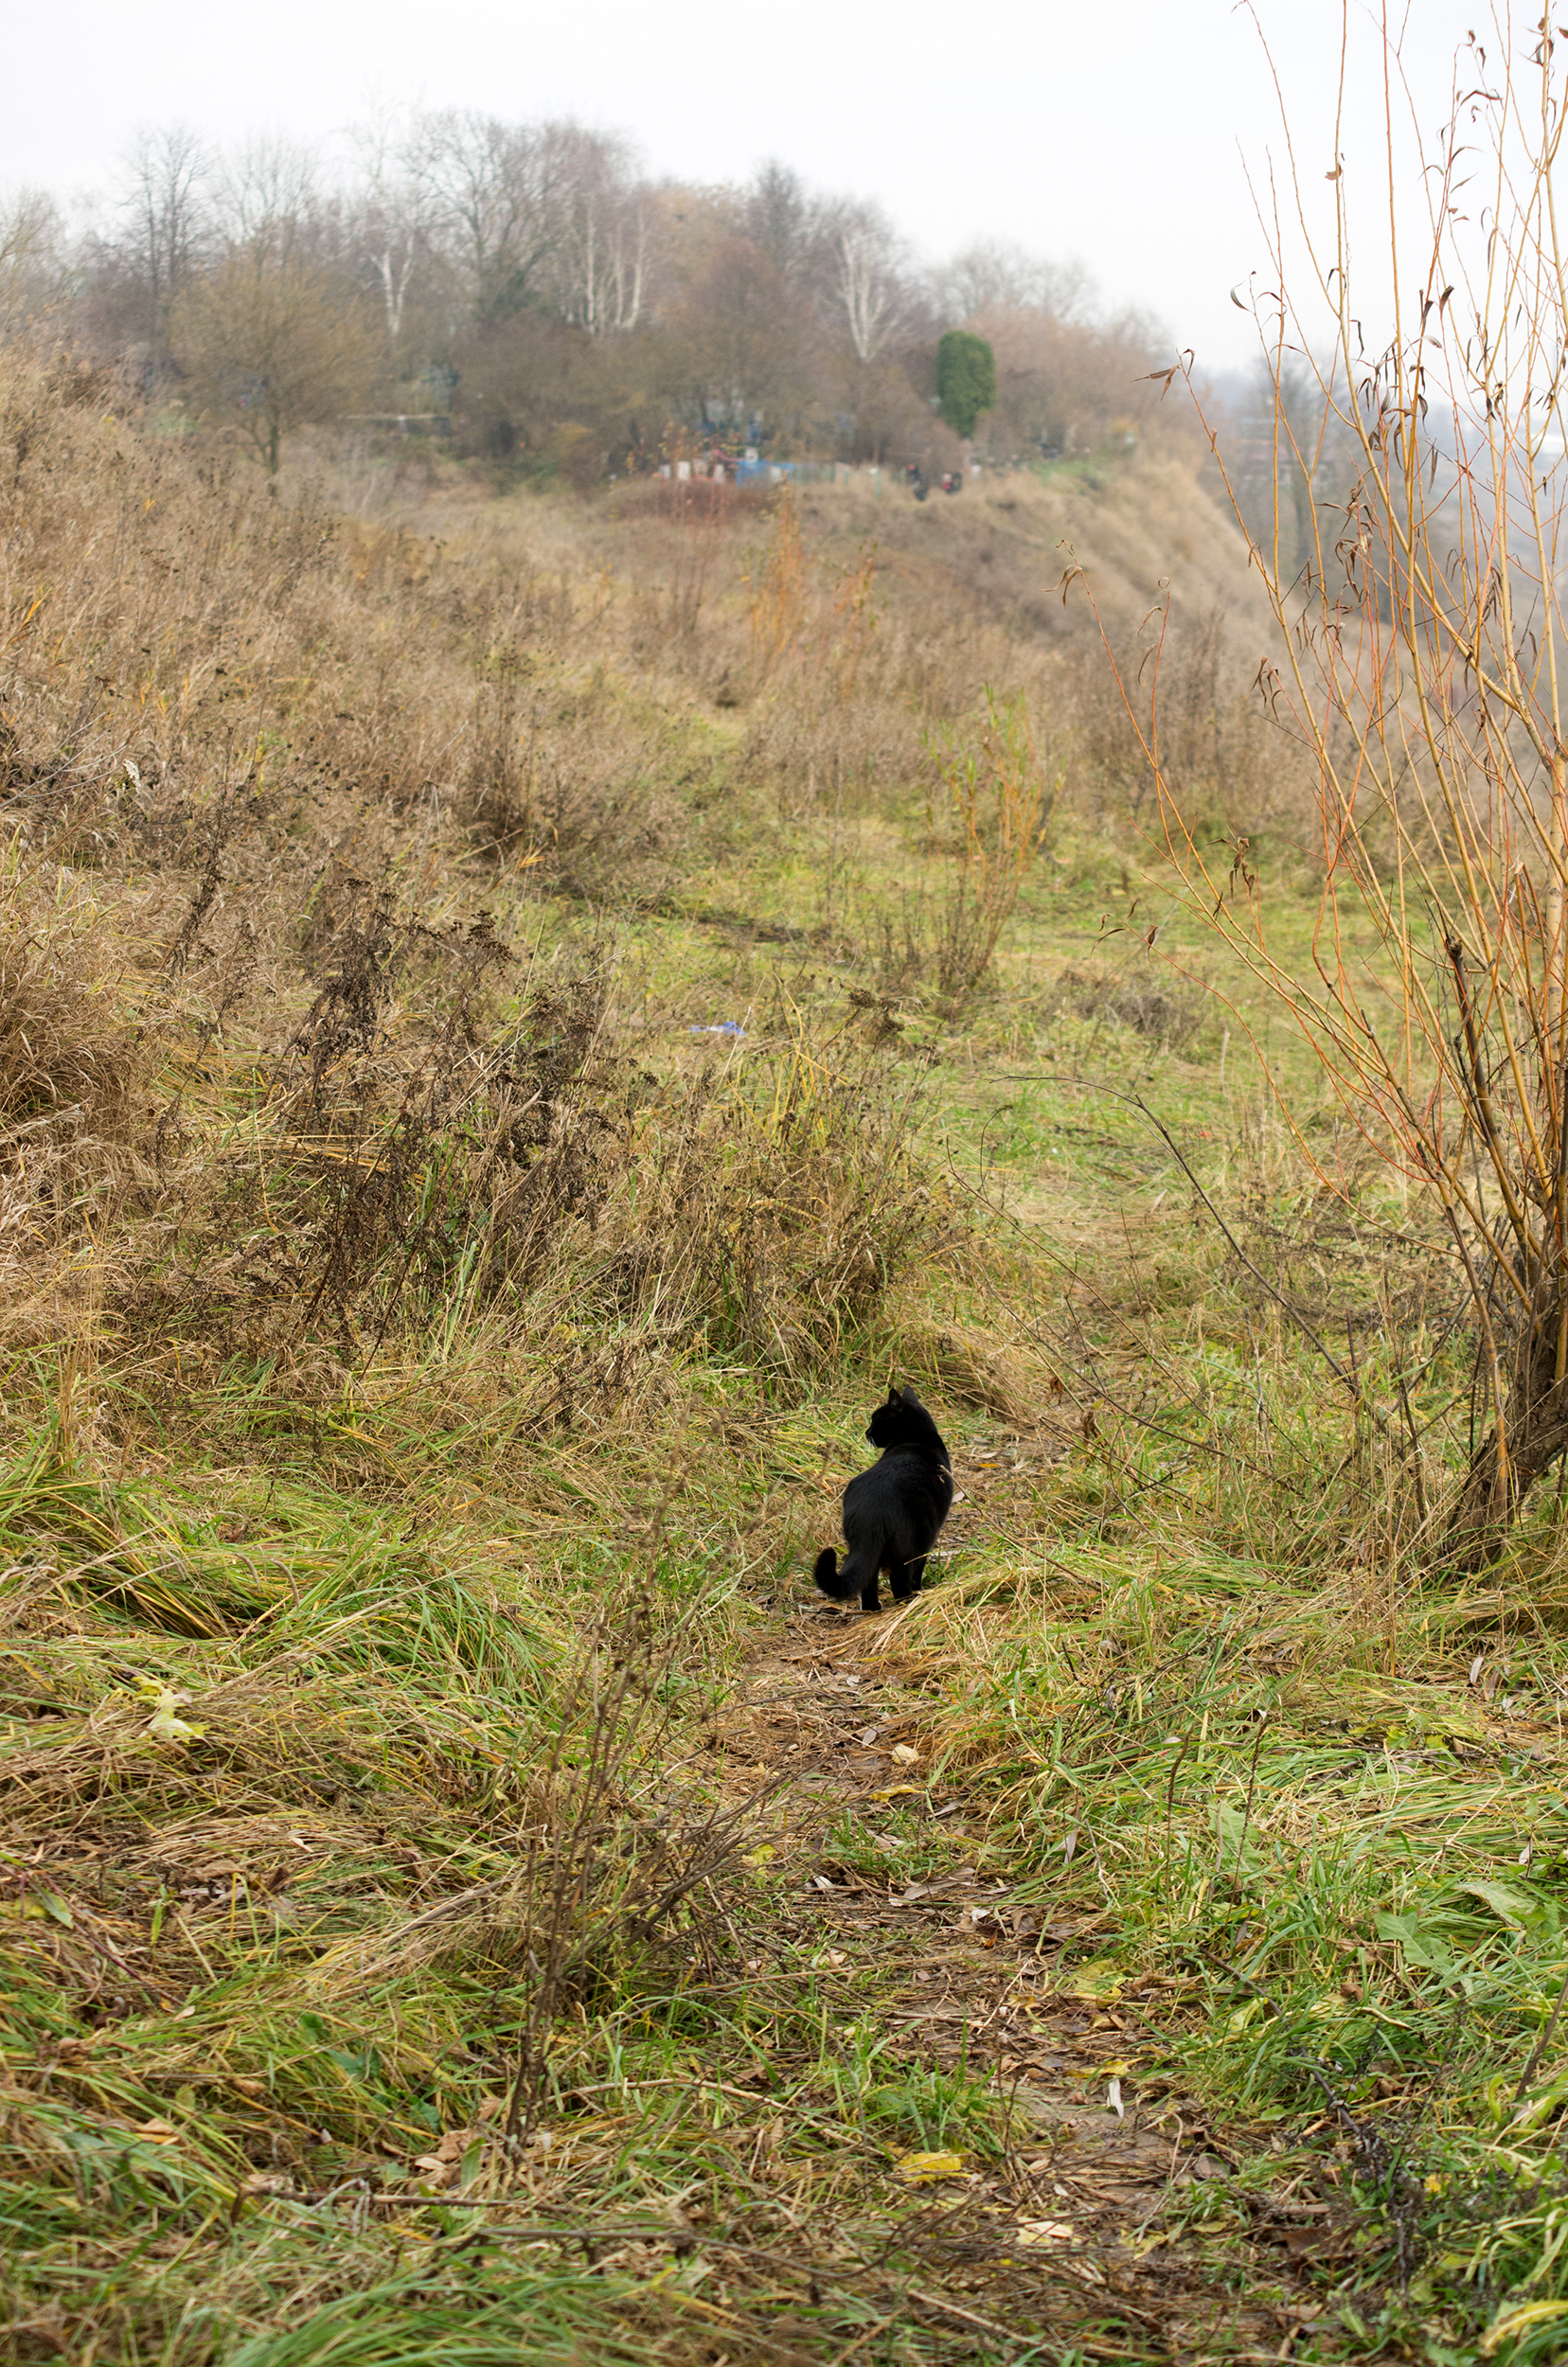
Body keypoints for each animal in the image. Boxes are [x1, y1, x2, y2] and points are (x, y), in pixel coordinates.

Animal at [824, 1382, 956, 1610]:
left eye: (875, 1420)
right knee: (900, 1579)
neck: (920, 1436)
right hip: (911, 1545)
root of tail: (870, 1510)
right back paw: (910, 1602)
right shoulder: (928, 1539)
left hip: (868, 1551)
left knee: (868, 1579)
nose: (866, 1432)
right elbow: (919, 1570)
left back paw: (873, 1607)